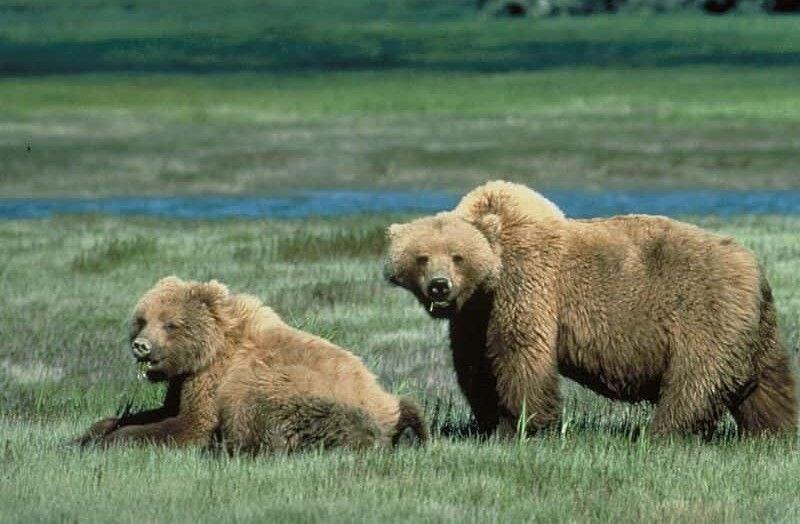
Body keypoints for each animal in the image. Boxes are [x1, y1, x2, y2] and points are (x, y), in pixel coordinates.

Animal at [77, 276, 427, 452]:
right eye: (141, 320)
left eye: (170, 324)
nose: (141, 345)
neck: (209, 350)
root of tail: (389, 406)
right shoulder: (184, 380)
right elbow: (161, 411)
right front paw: (92, 433)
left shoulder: (214, 379)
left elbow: (190, 425)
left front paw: (114, 440)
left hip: (295, 389)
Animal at [383, 180, 797, 438]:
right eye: (421, 257)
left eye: (458, 256)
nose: (440, 286)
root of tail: (755, 267)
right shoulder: (473, 315)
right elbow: (475, 366)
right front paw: (489, 423)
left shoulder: (527, 287)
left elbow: (521, 356)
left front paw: (525, 425)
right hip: (754, 328)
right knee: (767, 384)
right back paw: (775, 432)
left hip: (704, 313)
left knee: (695, 381)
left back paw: (661, 434)